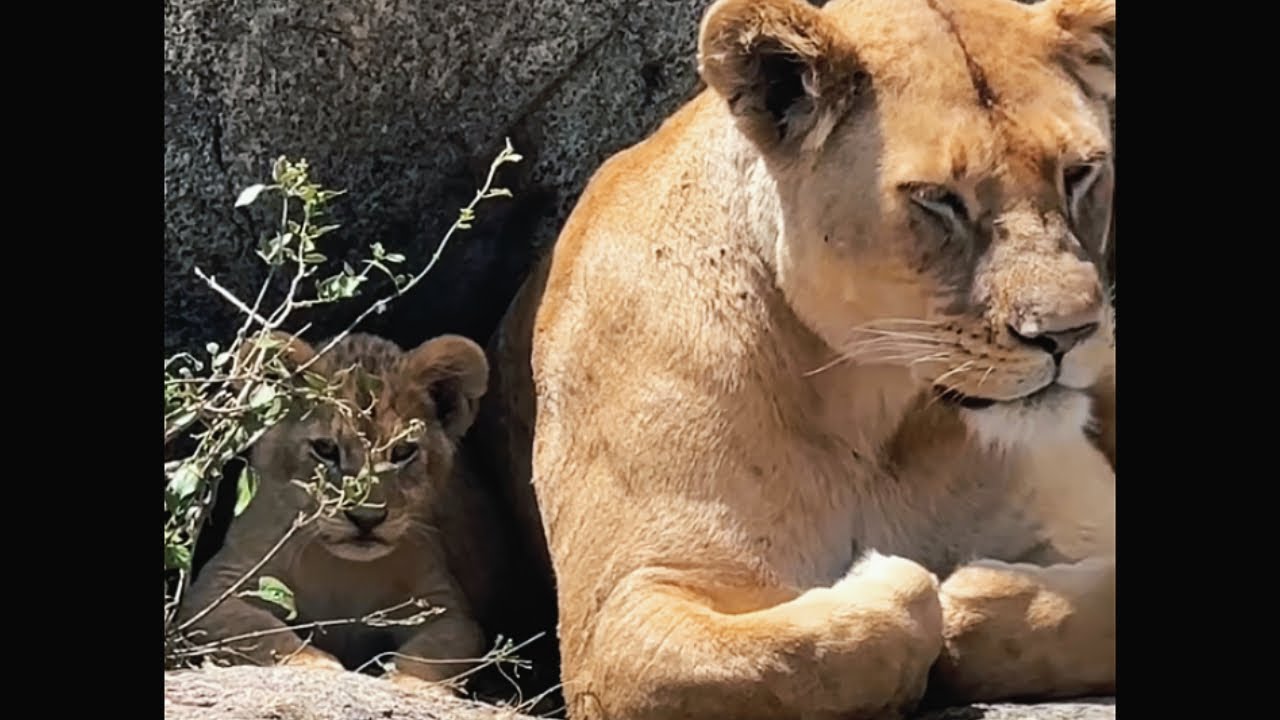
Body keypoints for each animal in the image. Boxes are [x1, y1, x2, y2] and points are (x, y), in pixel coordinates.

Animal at [178, 331, 507, 695]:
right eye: (325, 449)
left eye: (402, 452)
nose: (367, 519)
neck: (342, 569)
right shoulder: (214, 590)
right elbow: (263, 632)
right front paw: (317, 666)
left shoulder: (446, 610)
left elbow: (430, 656)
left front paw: (403, 684)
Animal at [477, 0, 1117, 718]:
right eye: (937, 199)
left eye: (1080, 173)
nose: (1070, 333)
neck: (870, 408)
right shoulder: (619, 609)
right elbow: (808, 650)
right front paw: (891, 580)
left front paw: (974, 601)